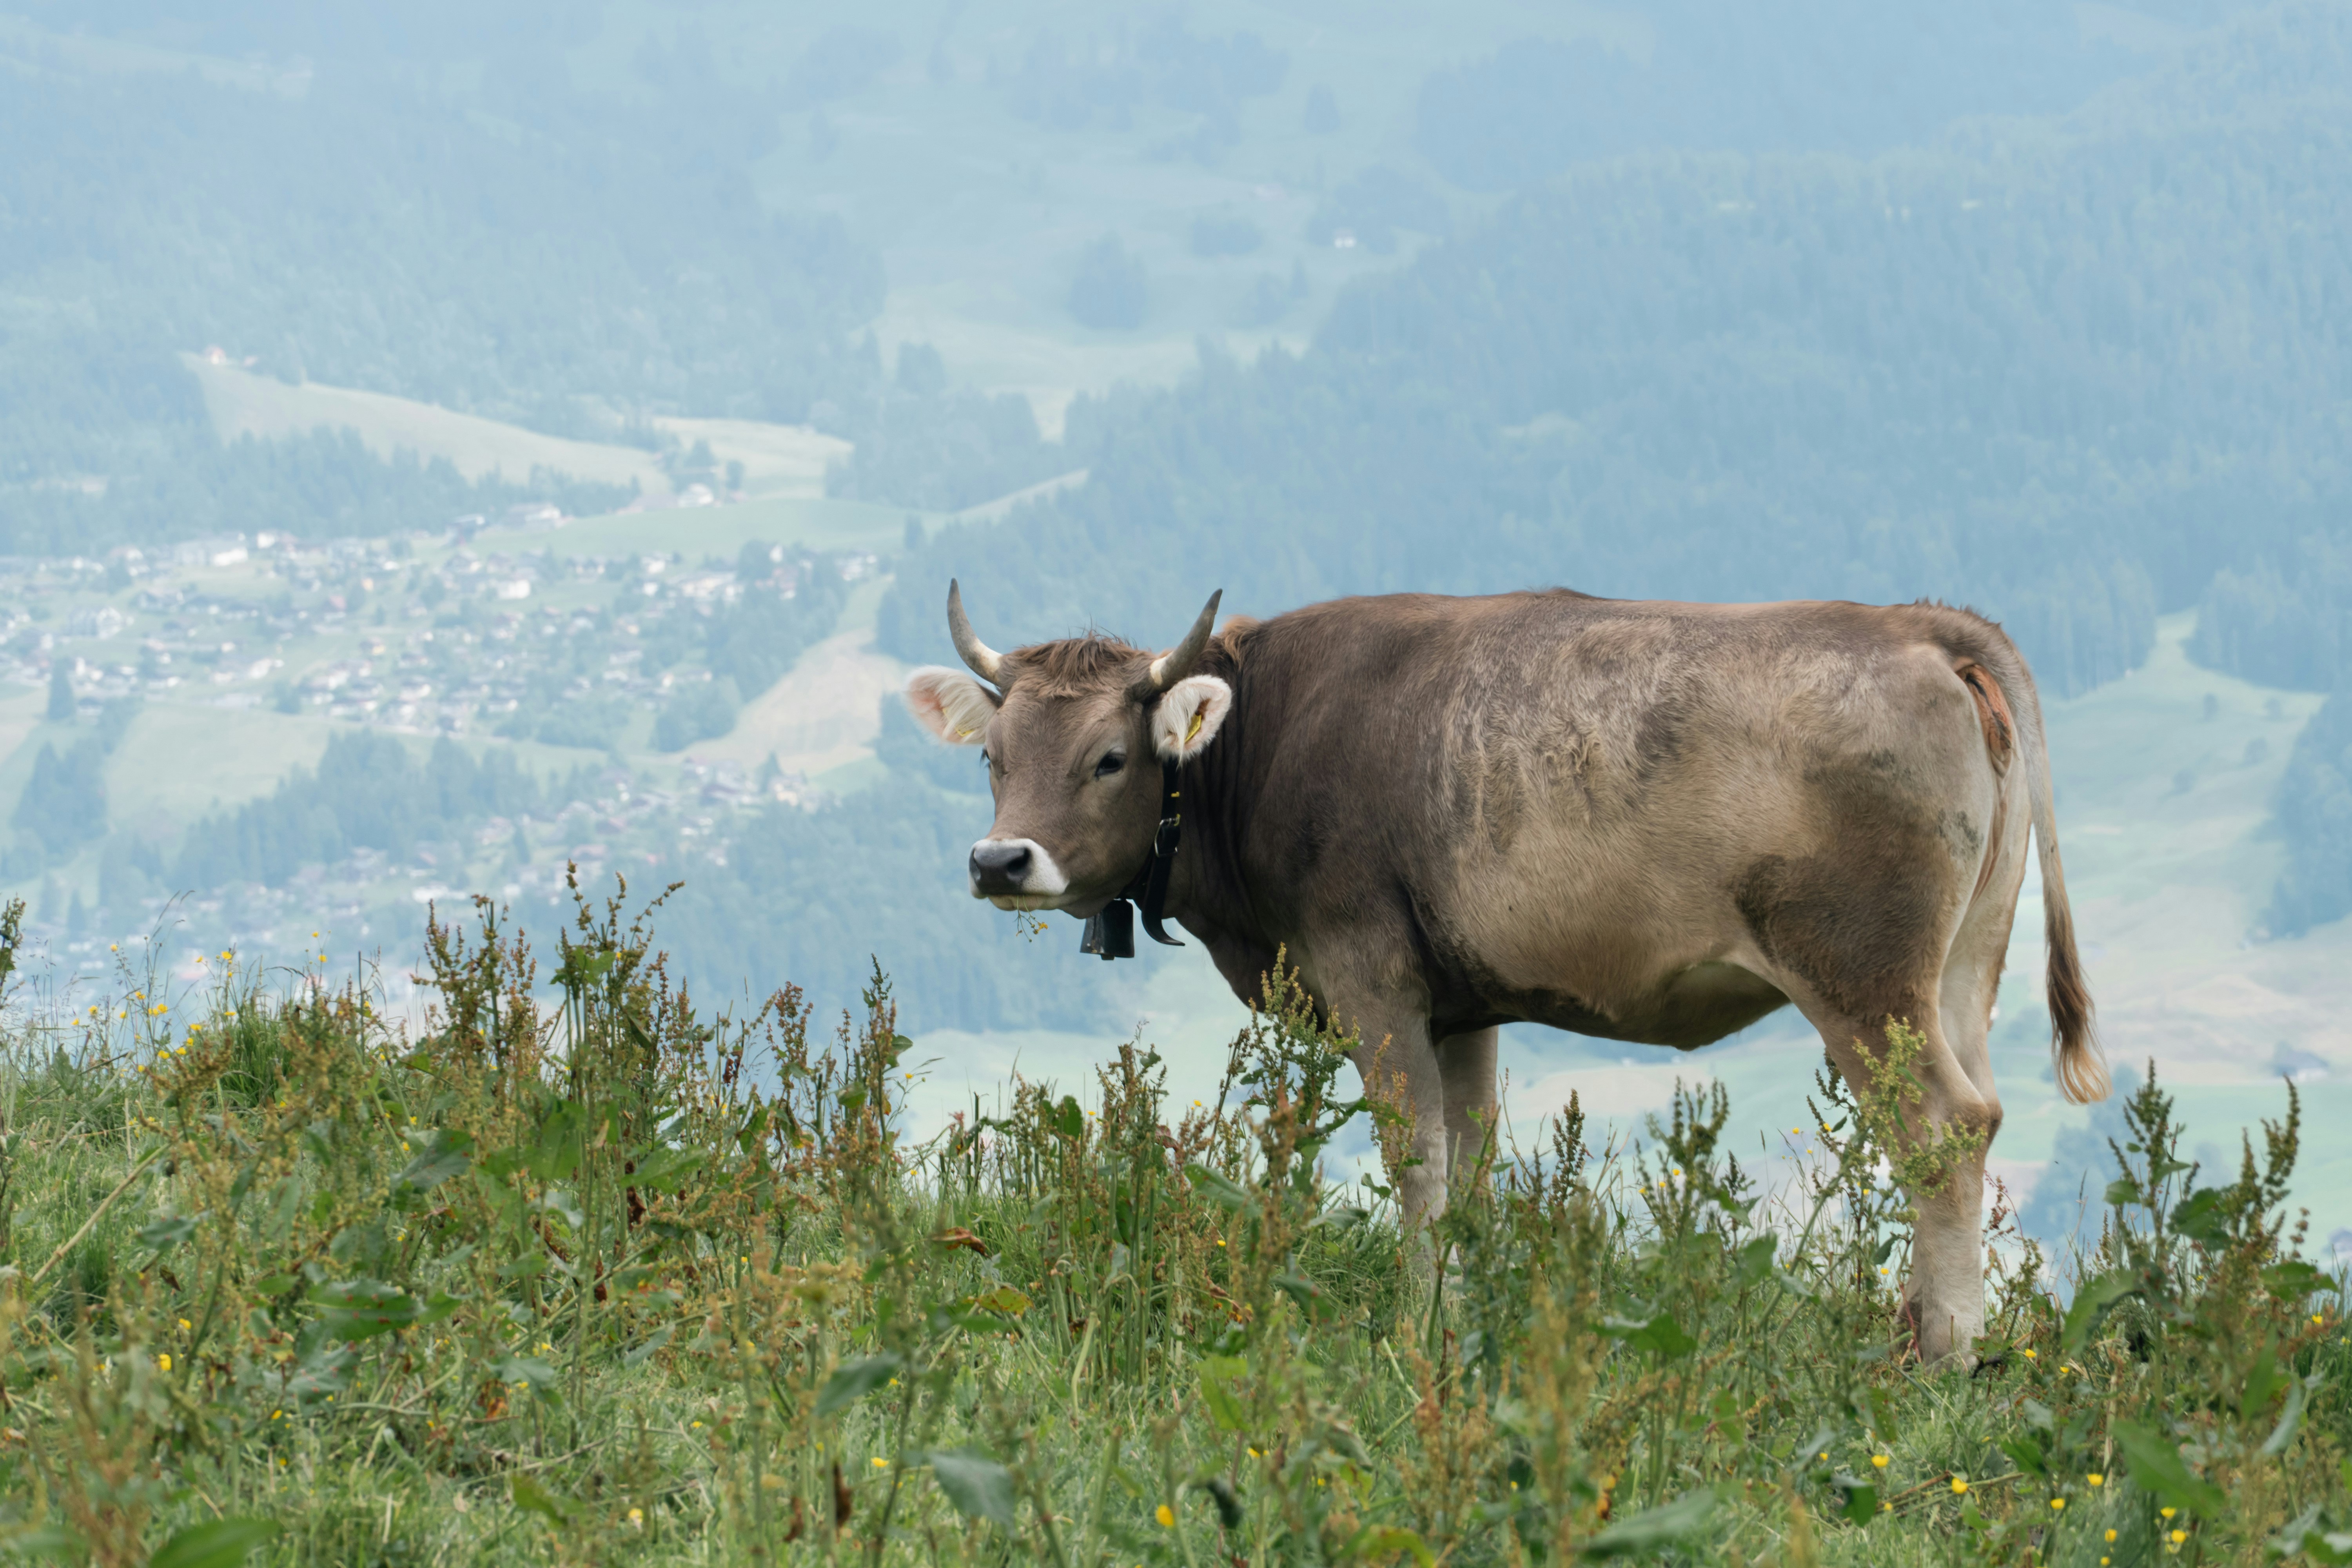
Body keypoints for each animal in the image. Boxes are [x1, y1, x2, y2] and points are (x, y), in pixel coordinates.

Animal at [902, 582, 2105, 1363]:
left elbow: (1417, 1159)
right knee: (1978, 1108)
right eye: (992, 759)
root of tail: (1916, 627)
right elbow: (1475, 1161)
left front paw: (1415, 1324)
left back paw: (1939, 1356)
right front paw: (1469, 1308)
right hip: (1961, 968)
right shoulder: (1459, 1003)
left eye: (1111, 758)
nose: (1000, 862)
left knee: (1943, 1129)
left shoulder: (1371, 973)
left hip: (1859, 973)